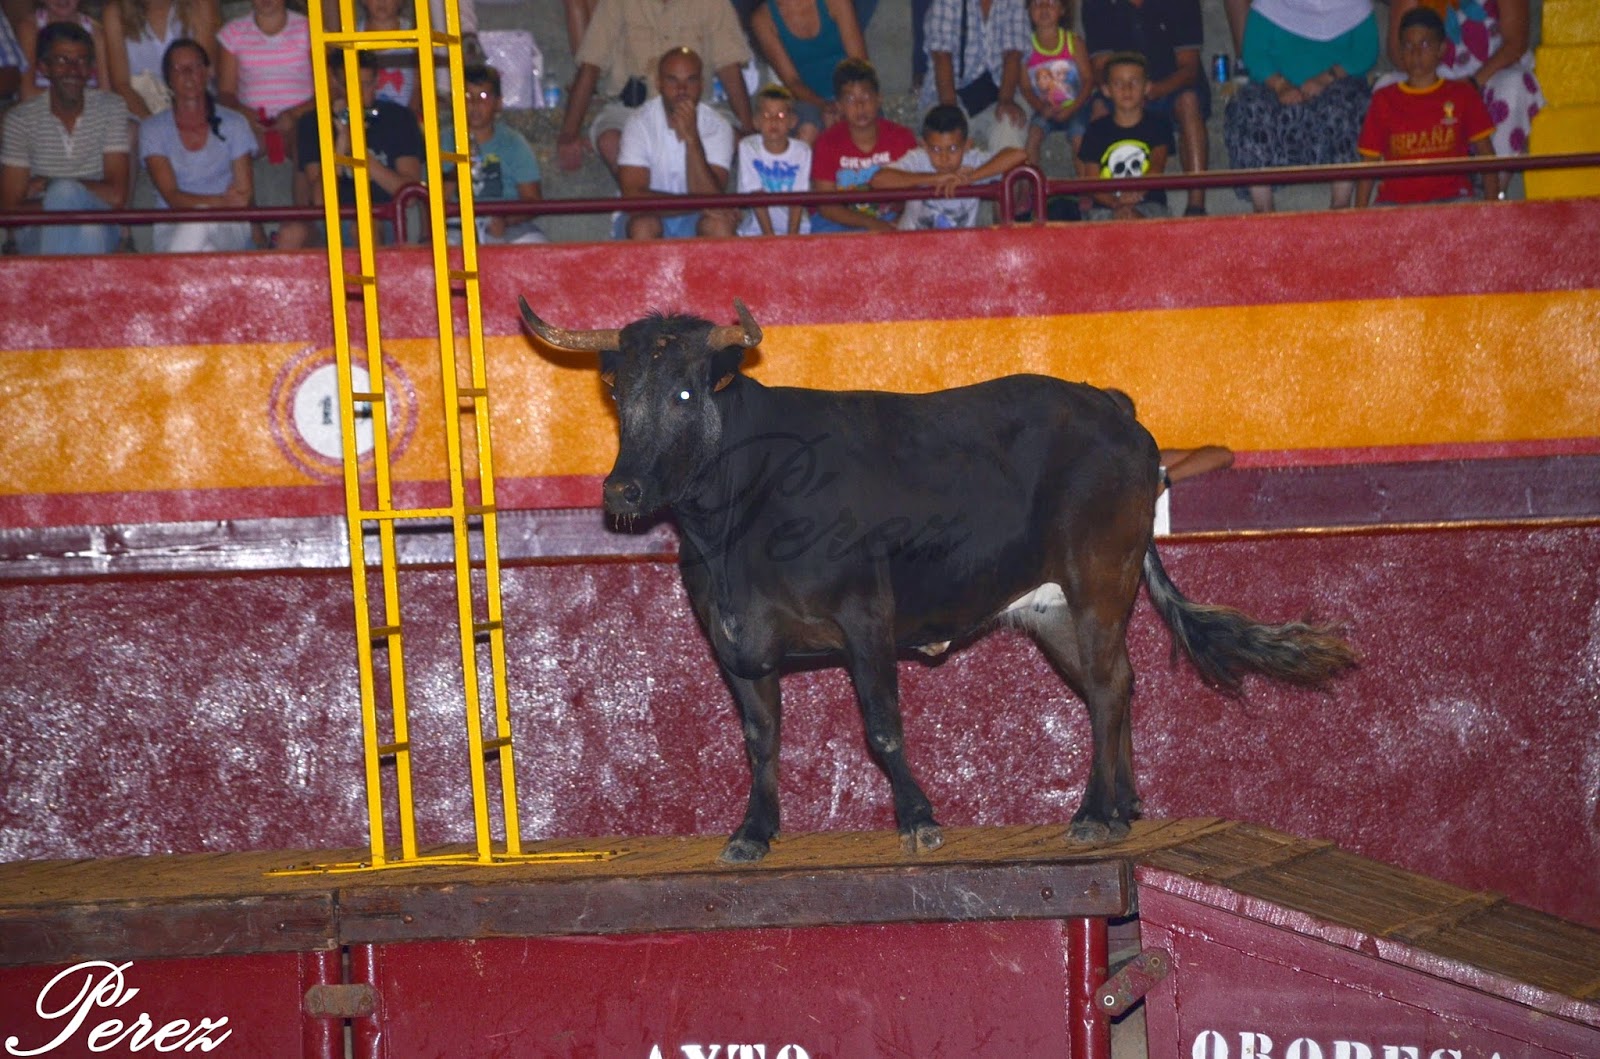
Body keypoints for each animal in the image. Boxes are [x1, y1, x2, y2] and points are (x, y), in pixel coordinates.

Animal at [520, 297, 1357, 863]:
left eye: (686, 392)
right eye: (618, 393)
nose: (621, 490)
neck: (737, 518)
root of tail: (1114, 407)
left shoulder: (865, 621)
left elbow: (882, 726)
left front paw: (920, 818)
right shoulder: (736, 641)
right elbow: (761, 736)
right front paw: (753, 830)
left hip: (1099, 578)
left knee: (1108, 685)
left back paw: (1094, 810)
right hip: (1056, 608)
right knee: (1112, 682)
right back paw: (1120, 807)